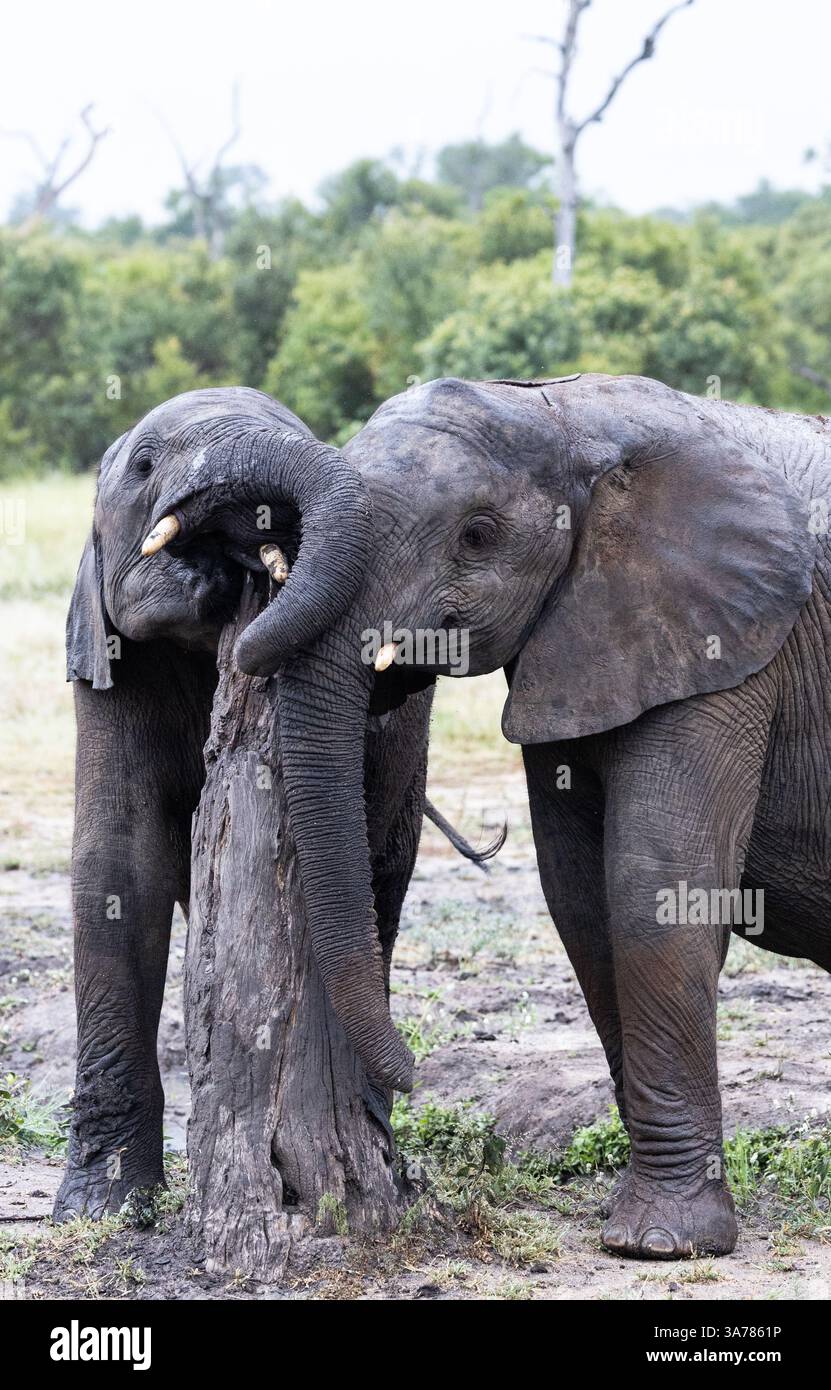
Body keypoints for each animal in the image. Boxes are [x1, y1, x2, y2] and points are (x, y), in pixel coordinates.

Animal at [253, 371, 827, 1261]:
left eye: (477, 536)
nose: (413, 1076)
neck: (565, 416)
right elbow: (579, 898)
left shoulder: (734, 643)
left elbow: (653, 887)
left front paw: (656, 1244)